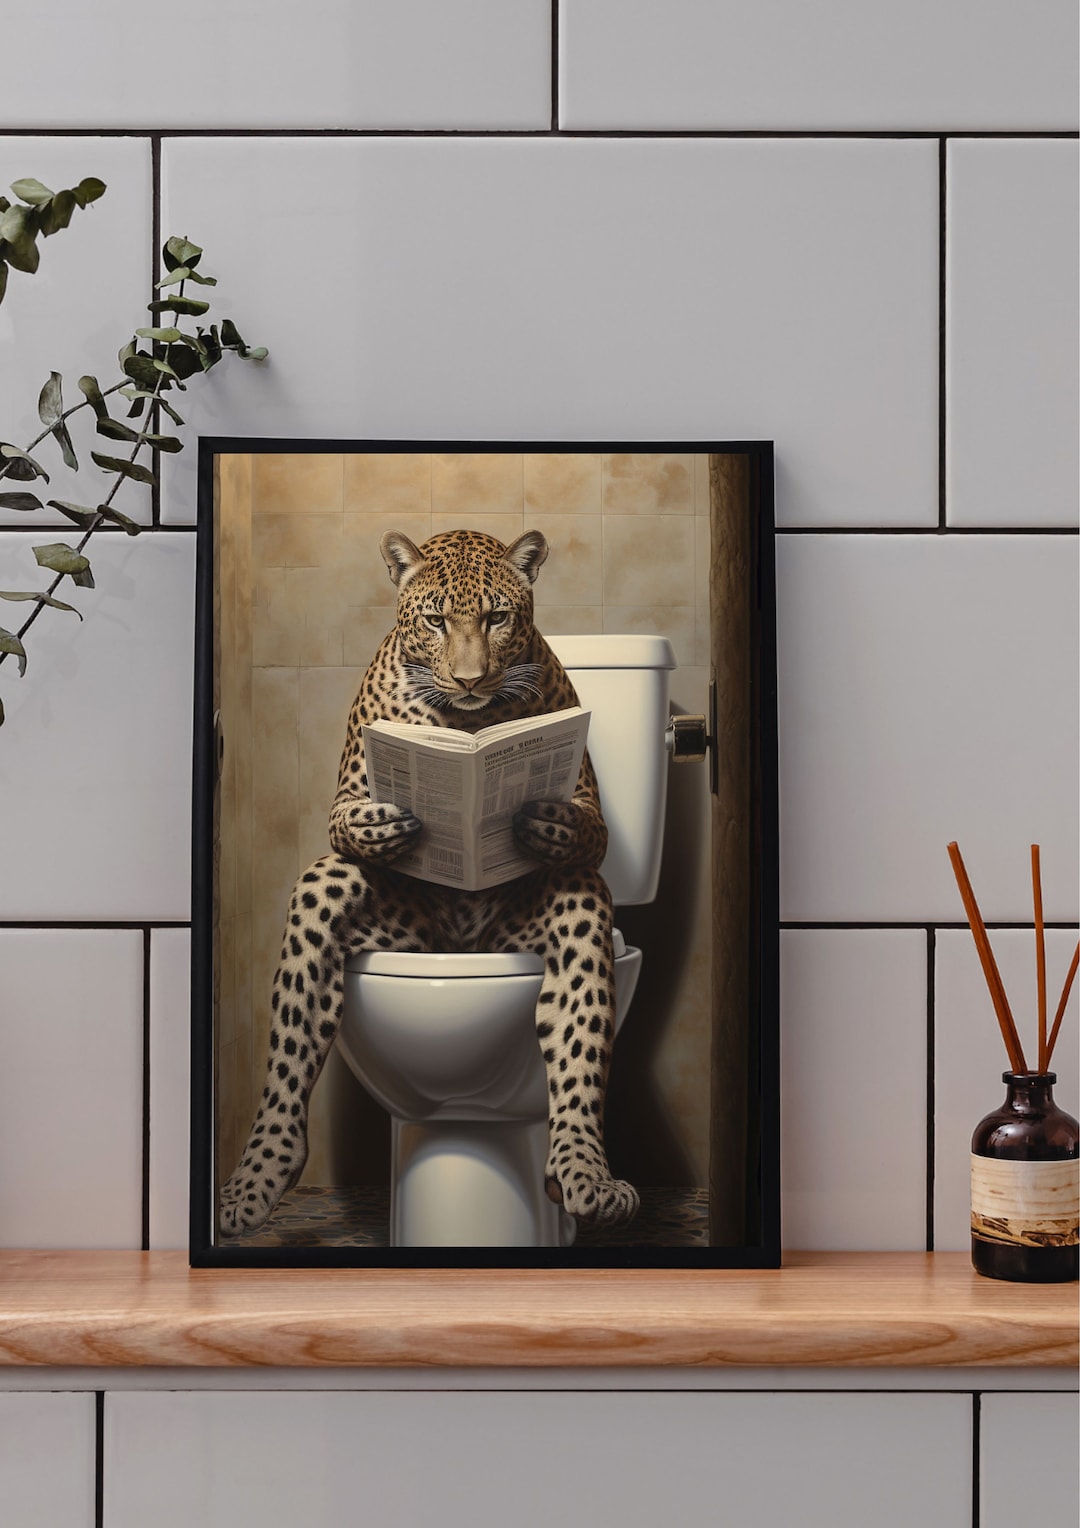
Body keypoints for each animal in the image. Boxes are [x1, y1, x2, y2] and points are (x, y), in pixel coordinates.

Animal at [219, 526, 639, 1239]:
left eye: (497, 618)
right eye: (437, 621)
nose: (470, 679)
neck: (468, 728)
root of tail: (459, 951)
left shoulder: (586, 798)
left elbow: (591, 829)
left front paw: (540, 820)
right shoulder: (348, 793)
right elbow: (345, 819)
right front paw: (389, 825)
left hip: (549, 920)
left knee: (576, 1019)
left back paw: (585, 1177)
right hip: (368, 917)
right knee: (294, 1042)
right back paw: (252, 1188)